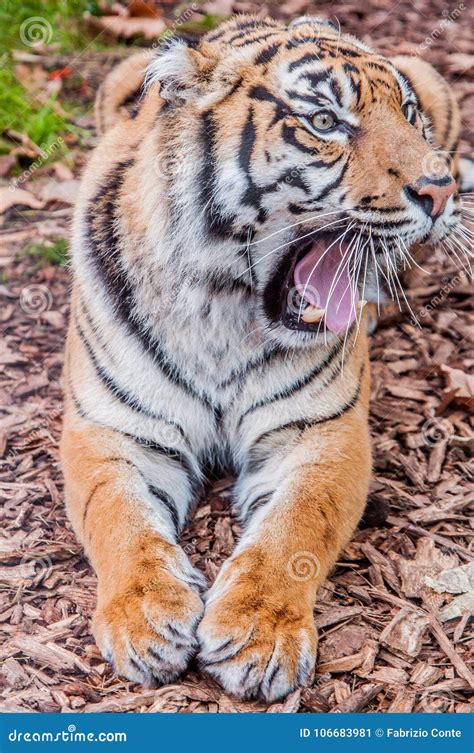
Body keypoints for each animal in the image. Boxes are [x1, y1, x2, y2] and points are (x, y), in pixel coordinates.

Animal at [61, 15, 467, 702]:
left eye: (409, 117)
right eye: (325, 121)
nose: (441, 191)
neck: (222, 311)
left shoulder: (323, 434)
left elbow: (294, 527)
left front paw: (259, 633)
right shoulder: (110, 430)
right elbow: (118, 520)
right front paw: (144, 619)